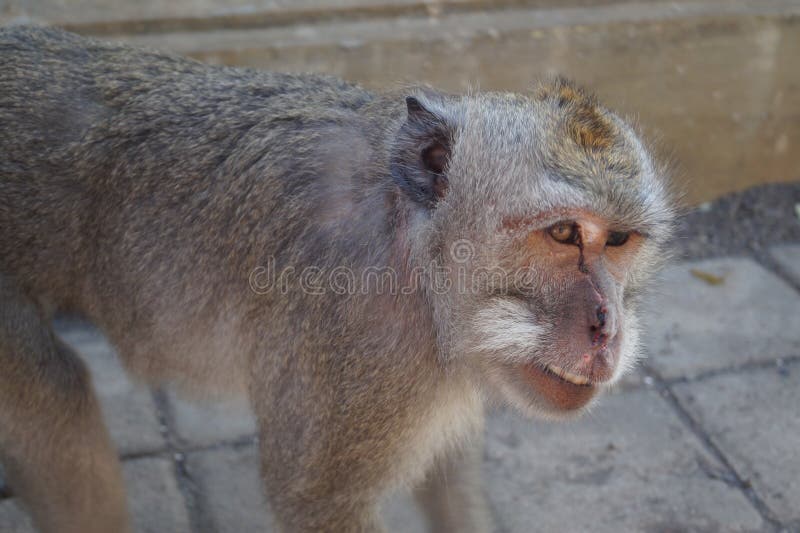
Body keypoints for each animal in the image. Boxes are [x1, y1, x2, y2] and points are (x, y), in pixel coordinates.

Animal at [0, 26, 675, 533]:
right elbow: (314, 498)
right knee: (54, 388)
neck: (411, 249)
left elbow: (448, 470)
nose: (607, 326)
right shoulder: (364, 349)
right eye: (563, 234)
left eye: (618, 241)